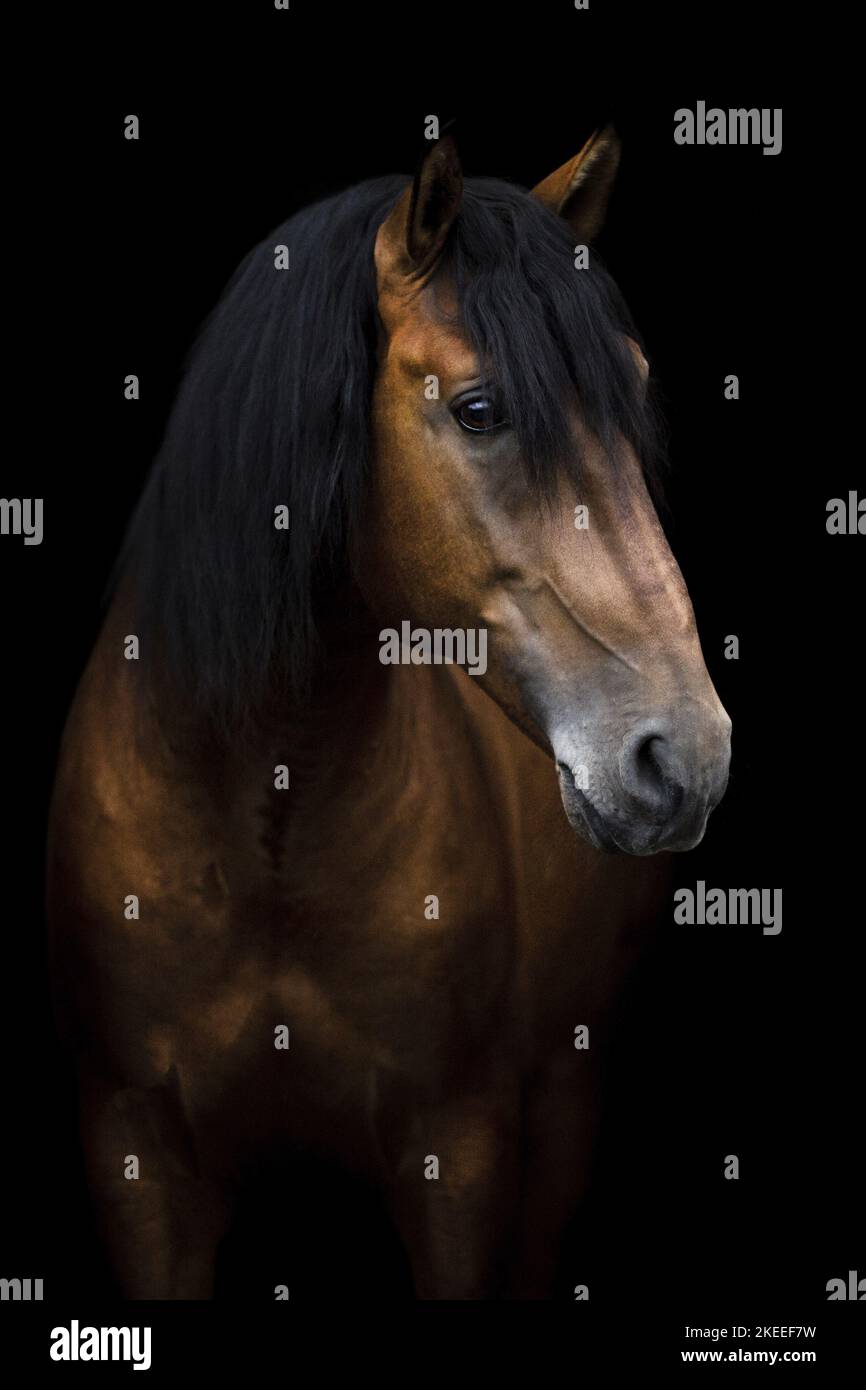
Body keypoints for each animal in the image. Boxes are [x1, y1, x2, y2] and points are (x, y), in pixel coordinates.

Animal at [46, 127, 732, 1300]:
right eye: (477, 409)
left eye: (634, 387)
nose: (684, 755)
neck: (263, 827)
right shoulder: (134, 1154)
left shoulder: (459, 1153)